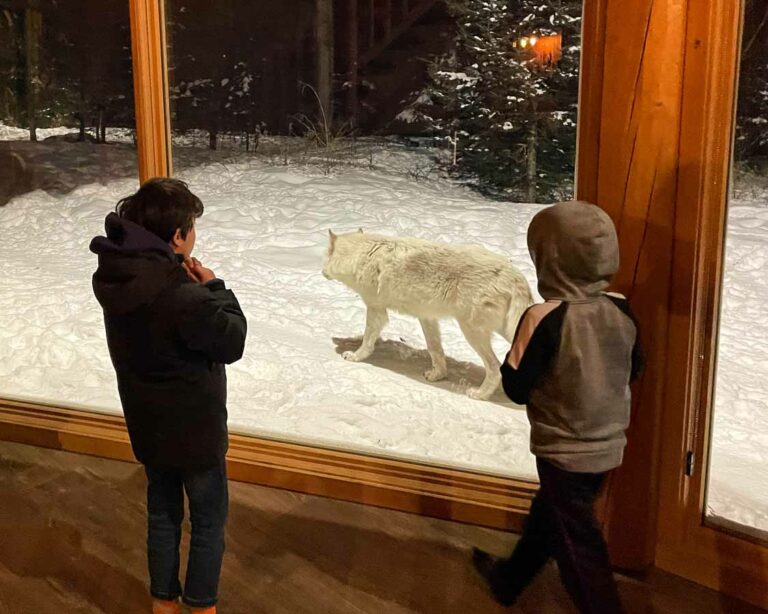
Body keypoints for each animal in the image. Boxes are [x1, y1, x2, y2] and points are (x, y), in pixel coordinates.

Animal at [322, 230, 533, 400]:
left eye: (326, 255)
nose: (322, 271)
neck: (363, 255)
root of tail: (516, 277)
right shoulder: (427, 316)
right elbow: (435, 349)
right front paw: (438, 375)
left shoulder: (376, 309)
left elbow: (367, 340)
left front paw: (355, 356)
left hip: (472, 332)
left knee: (495, 367)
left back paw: (480, 394)